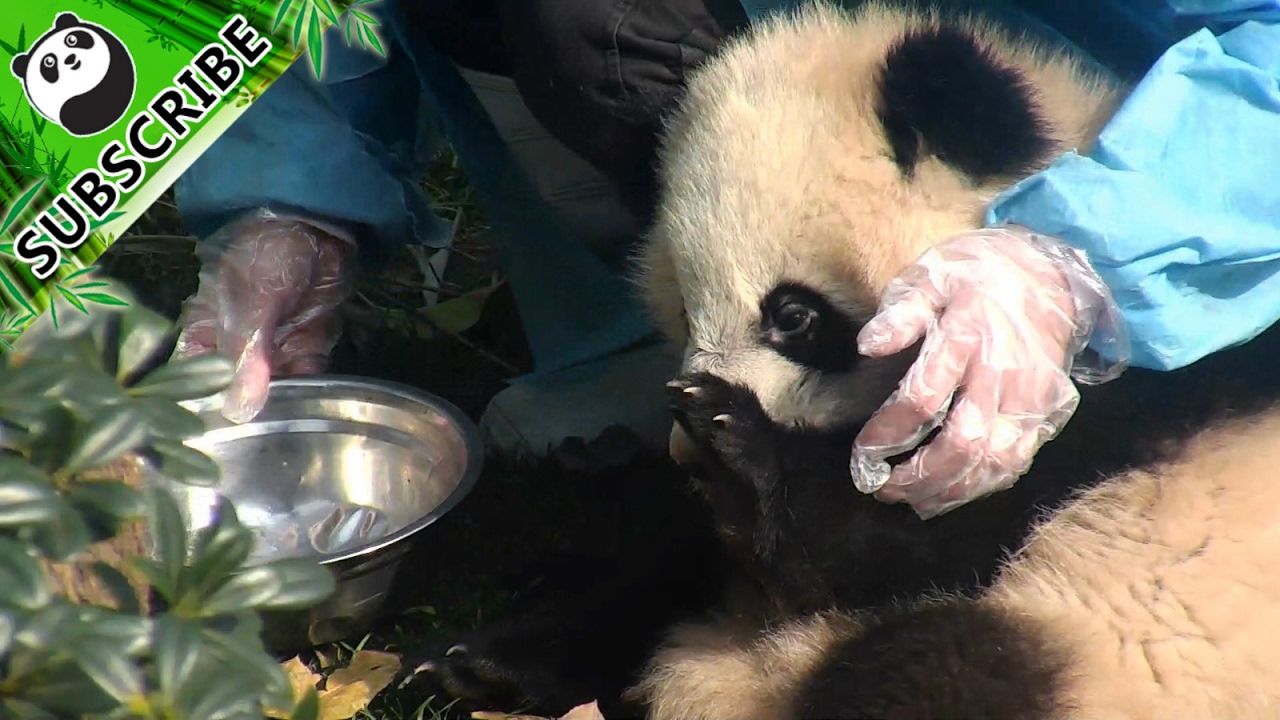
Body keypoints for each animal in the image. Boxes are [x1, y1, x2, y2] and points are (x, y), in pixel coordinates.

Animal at [408, 2, 1280, 718]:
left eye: (794, 316)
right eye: (684, 308)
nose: (684, 442)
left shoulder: (1131, 394)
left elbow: (894, 549)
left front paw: (738, 446)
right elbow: (674, 546)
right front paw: (499, 653)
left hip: (1098, 642)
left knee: (942, 671)